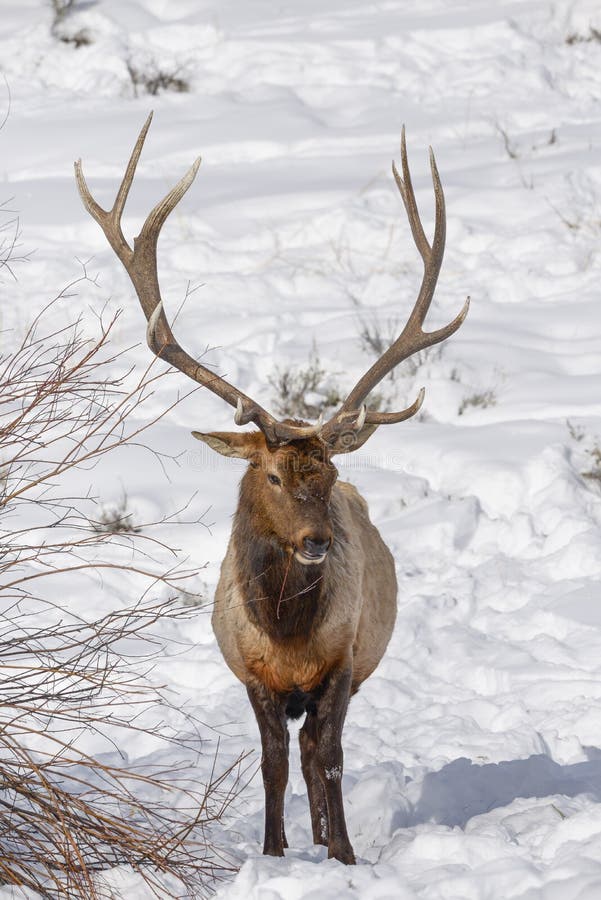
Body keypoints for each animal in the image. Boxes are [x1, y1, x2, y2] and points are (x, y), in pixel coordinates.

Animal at [75, 114, 468, 865]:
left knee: (318, 749)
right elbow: (272, 763)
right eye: (273, 474)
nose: (318, 541)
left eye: (331, 476)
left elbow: (329, 757)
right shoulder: (252, 673)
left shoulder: (342, 662)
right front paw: (275, 852)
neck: (287, 634)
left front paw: (340, 854)